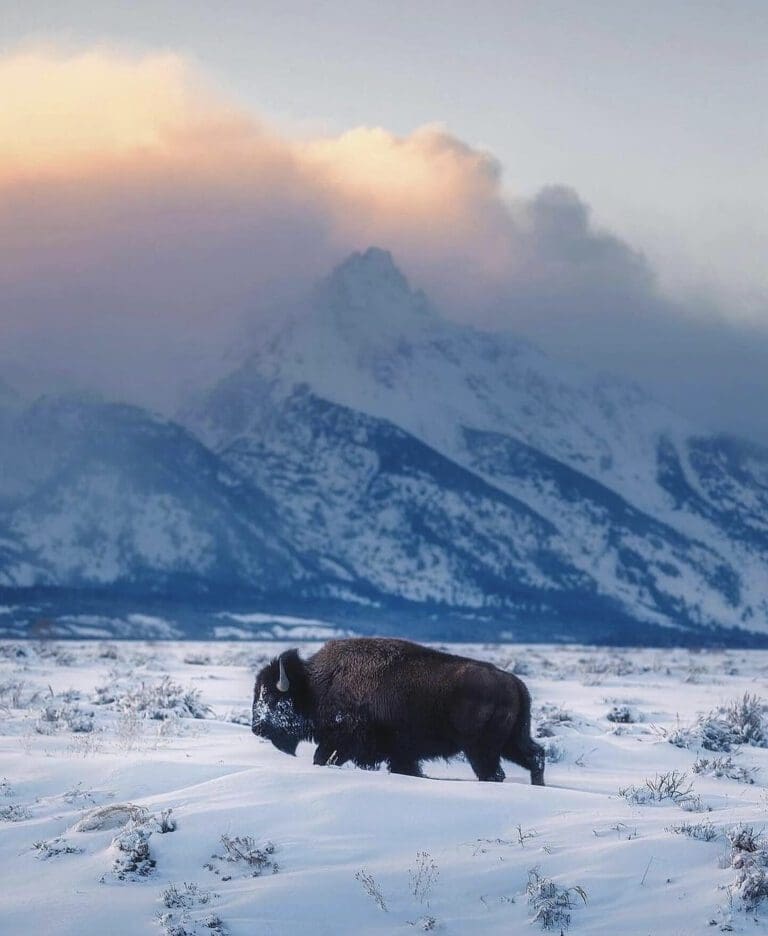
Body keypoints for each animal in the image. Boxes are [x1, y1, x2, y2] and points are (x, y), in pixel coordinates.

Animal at [251, 637, 545, 784]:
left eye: (272, 697)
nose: (256, 727)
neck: (317, 685)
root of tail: (515, 683)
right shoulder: (399, 753)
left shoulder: (345, 741)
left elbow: (325, 757)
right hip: (511, 743)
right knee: (535, 756)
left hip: (482, 749)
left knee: (494, 772)